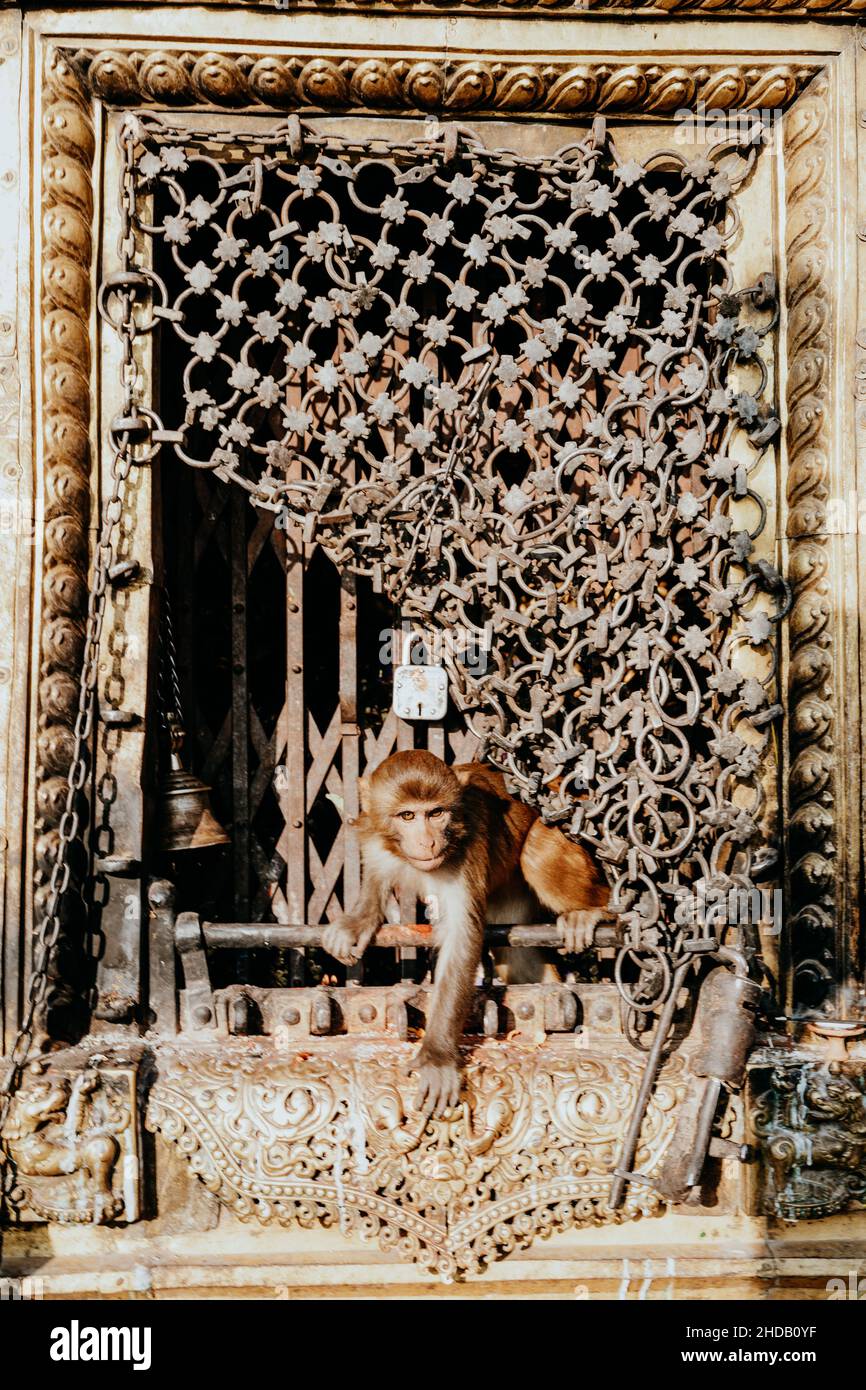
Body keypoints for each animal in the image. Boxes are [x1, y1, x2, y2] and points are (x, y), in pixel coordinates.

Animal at [322, 750, 609, 1118]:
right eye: (407, 815)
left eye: (436, 813)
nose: (428, 840)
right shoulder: (376, 838)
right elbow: (376, 878)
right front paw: (357, 921)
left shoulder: (467, 846)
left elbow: (461, 937)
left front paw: (437, 1057)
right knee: (518, 957)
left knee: (539, 853)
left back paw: (596, 911)